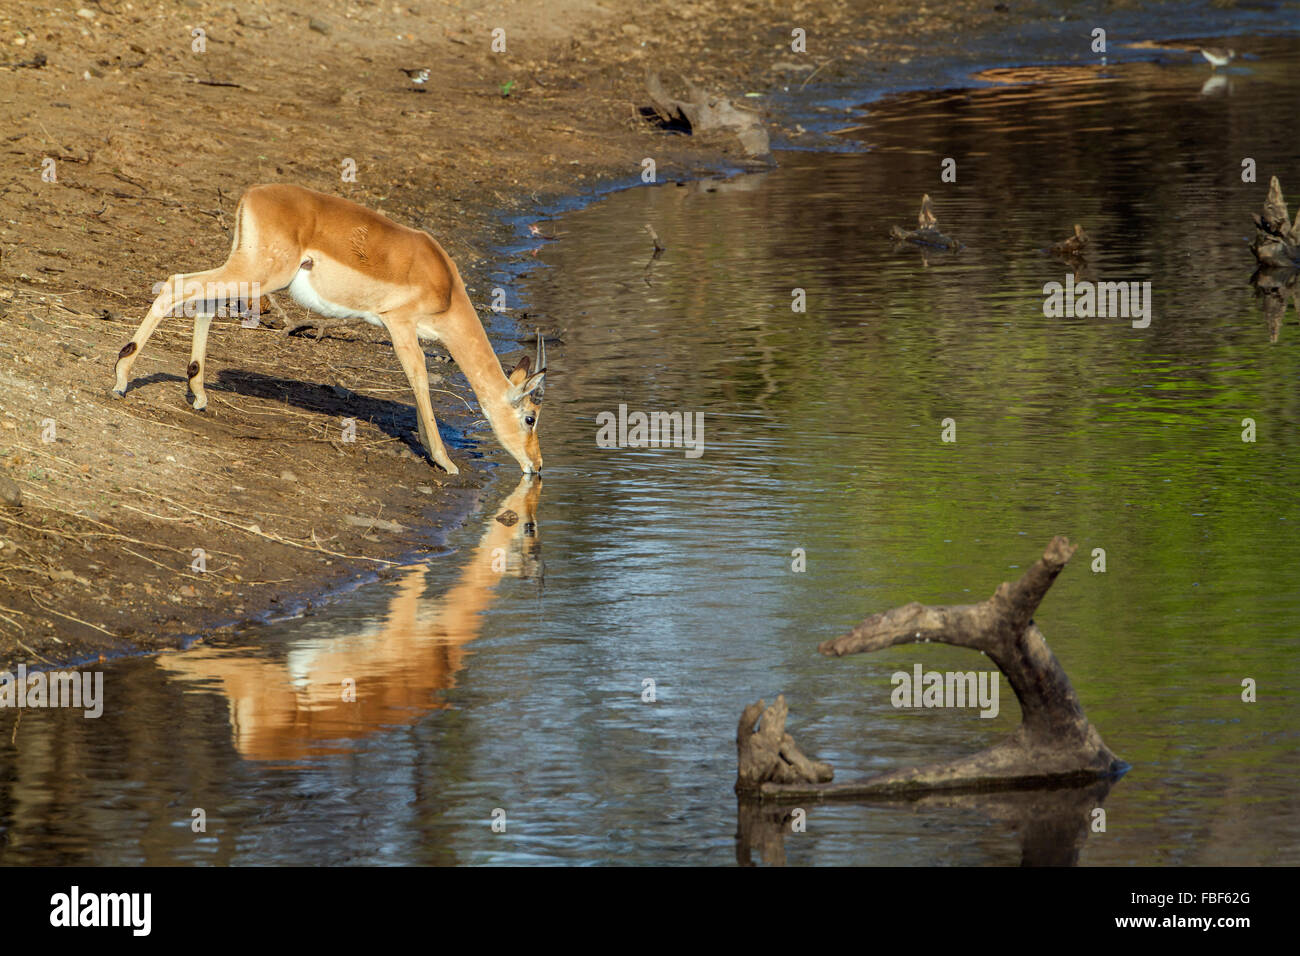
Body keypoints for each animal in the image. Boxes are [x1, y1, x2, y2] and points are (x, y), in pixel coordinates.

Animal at [110, 184, 546, 475]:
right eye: (530, 417)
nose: (538, 465)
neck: (446, 287)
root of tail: (252, 195)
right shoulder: (399, 325)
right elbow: (419, 379)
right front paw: (444, 460)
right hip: (260, 273)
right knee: (175, 284)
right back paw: (121, 379)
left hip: (248, 274)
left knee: (203, 303)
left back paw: (198, 395)